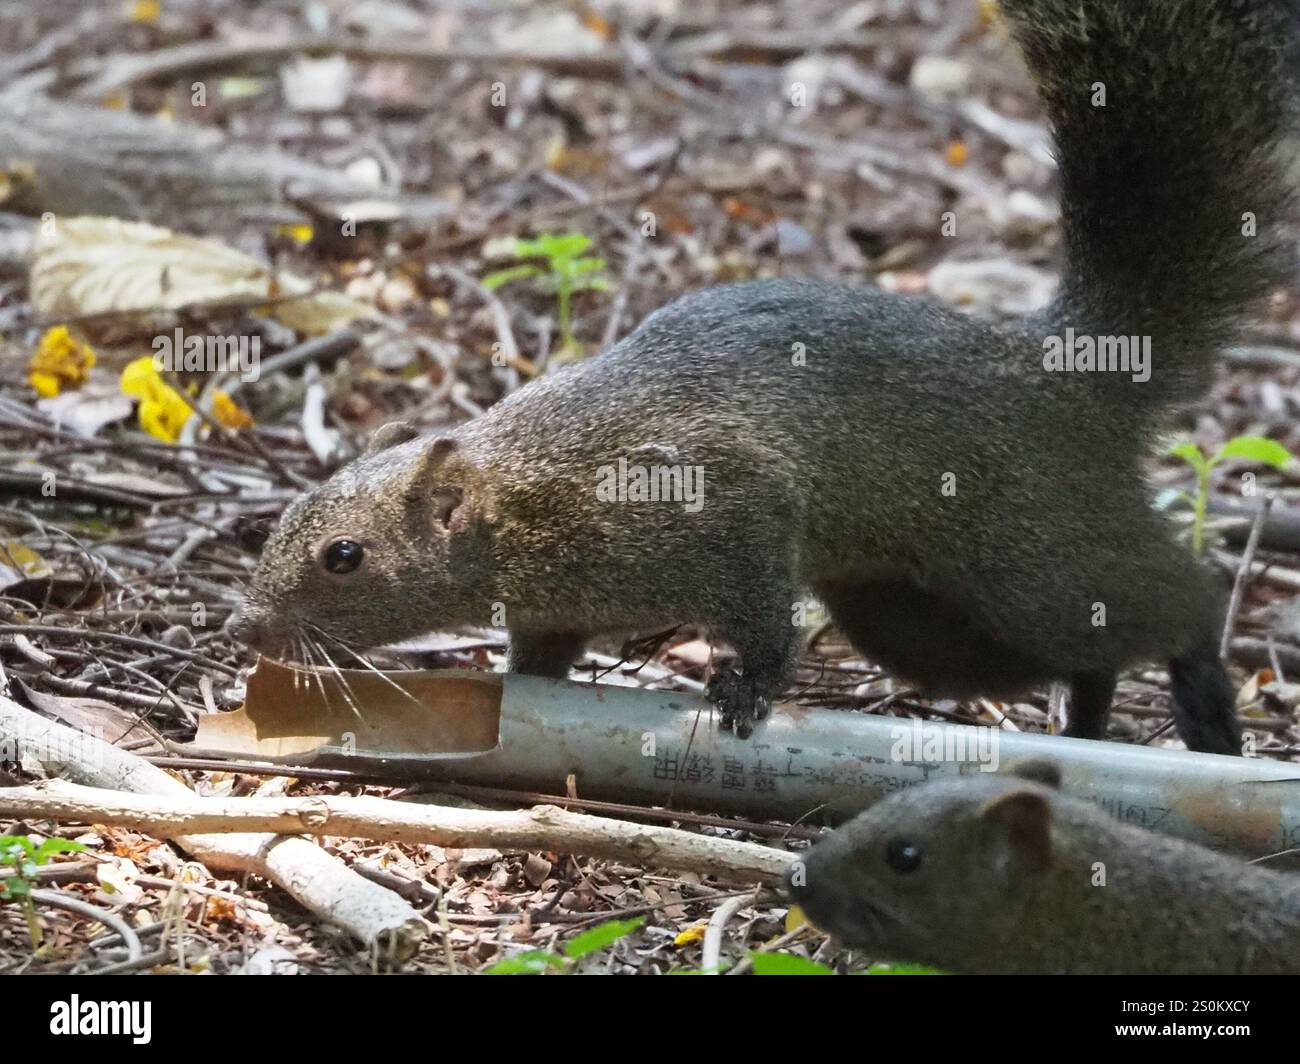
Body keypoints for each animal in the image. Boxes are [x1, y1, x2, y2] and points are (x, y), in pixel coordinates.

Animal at [234, 1, 1299, 754]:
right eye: (280, 524)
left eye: (344, 557)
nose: (246, 627)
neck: (527, 501)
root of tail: (1062, 374)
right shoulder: (557, 602)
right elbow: (542, 656)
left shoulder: (718, 500)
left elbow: (762, 612)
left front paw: (745, 690)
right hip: (918, 621)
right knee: (1088, 658)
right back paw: (1088, 727)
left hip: (1027, 559)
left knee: (1176, 600)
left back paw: (1207, 709)